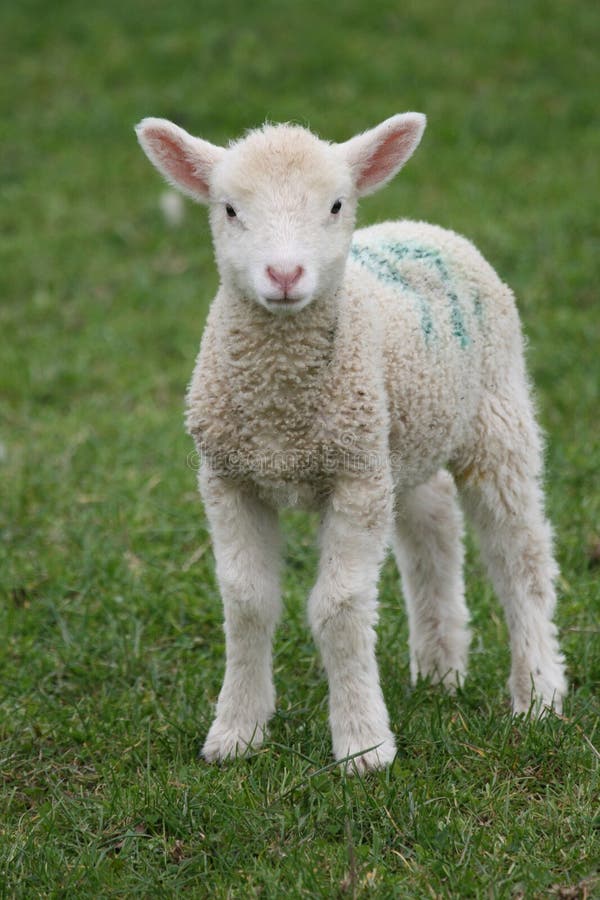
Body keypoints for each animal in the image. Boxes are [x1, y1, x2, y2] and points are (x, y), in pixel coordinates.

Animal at [136, 113, 567, 772]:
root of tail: (422, 227)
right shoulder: (229, 476)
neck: (279, 413)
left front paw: (363, 744)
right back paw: (440, 667)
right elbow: (247, 600)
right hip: (403, 436)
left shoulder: (355, 478)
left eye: (336, 204)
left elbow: (338, 607)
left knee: (520, 555)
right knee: (434, 526)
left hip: (496, 418)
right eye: (229, 208)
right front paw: (237, 732)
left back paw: (538, 693)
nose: (284, 275)